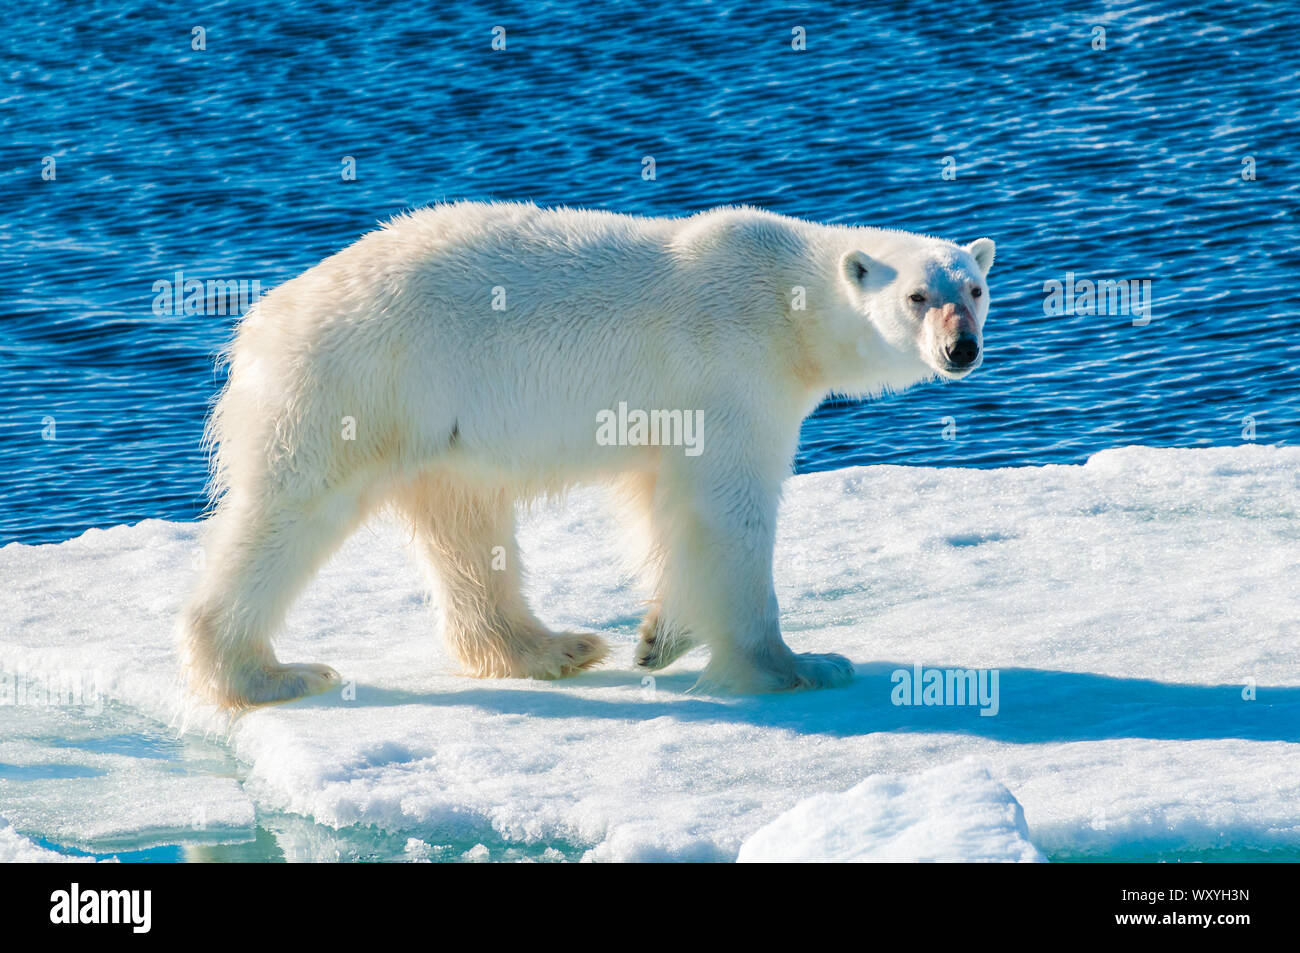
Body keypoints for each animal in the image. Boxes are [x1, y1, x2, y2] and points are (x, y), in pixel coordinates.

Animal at [180, 202, 994, 710]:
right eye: (918, 295)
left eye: (976, 287)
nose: (962, 348)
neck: (785, 299)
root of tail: (263, 318)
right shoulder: (734, 373)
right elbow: (729, 511)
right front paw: (797, 665)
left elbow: (668, 506)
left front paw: (659, 637)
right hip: (356, 384)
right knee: (289, 513)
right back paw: (268, 674)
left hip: (436, 428)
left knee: (465, 521)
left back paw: (553, 646)